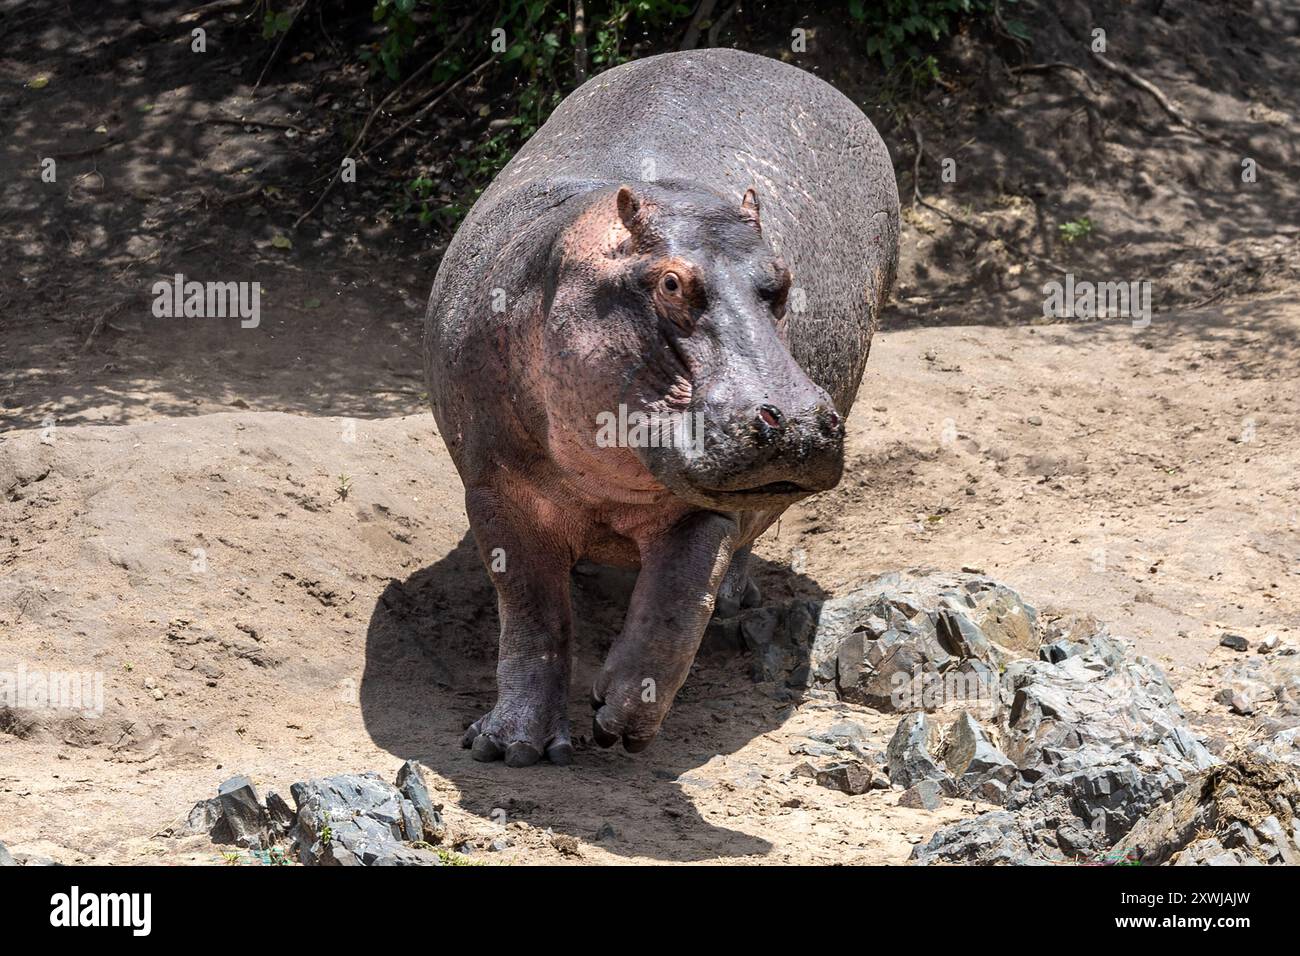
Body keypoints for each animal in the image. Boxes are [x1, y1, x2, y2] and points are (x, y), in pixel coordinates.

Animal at [424, 48, 899, 766]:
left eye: (783, 280)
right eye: (672, 283)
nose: (797, 422)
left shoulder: (707, 504)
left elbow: (675, 609)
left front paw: (619, 717)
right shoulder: (494, 487)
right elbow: (533, 613)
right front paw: (509, 749)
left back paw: (732, 602)